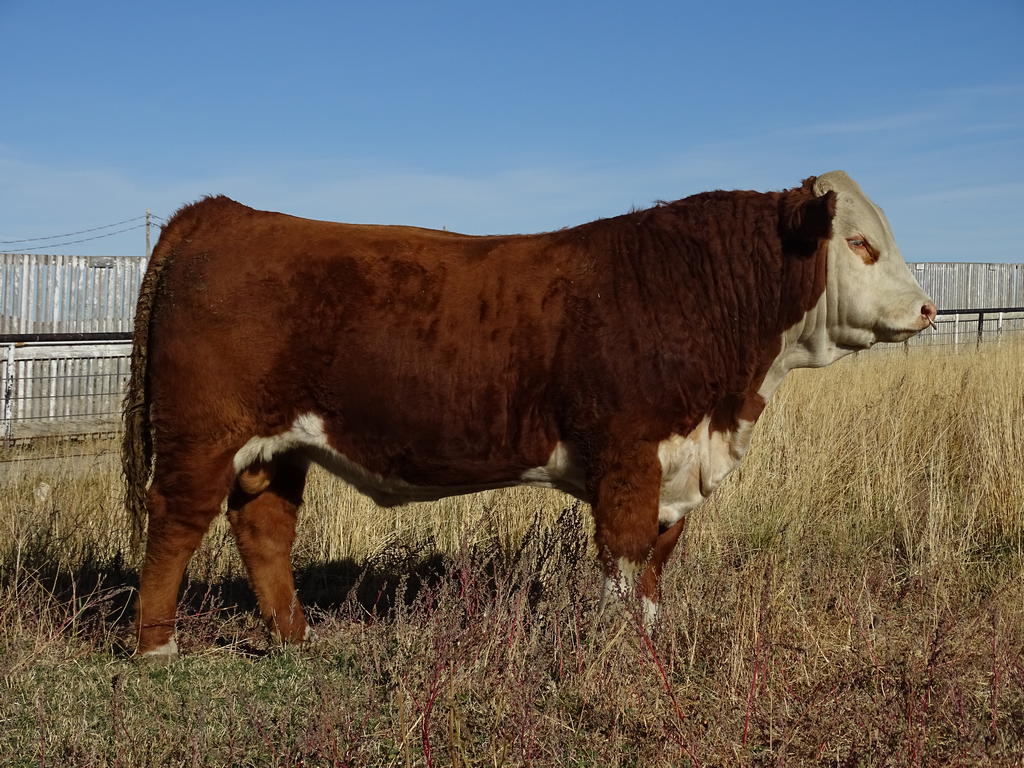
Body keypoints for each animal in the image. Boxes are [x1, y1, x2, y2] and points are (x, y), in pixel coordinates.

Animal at [123, 171, 936, 656]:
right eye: (861, 244)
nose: (928, 307)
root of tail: (223, 214)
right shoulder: (629, 455)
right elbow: (626, 553)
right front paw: (622, 649)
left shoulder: (677, 466)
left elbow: (656, 563)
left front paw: (648, 636)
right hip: (202, 435)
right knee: (175, 524)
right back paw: (157, 646)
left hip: (276, 447)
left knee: (263, 529)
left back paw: (295, 637)